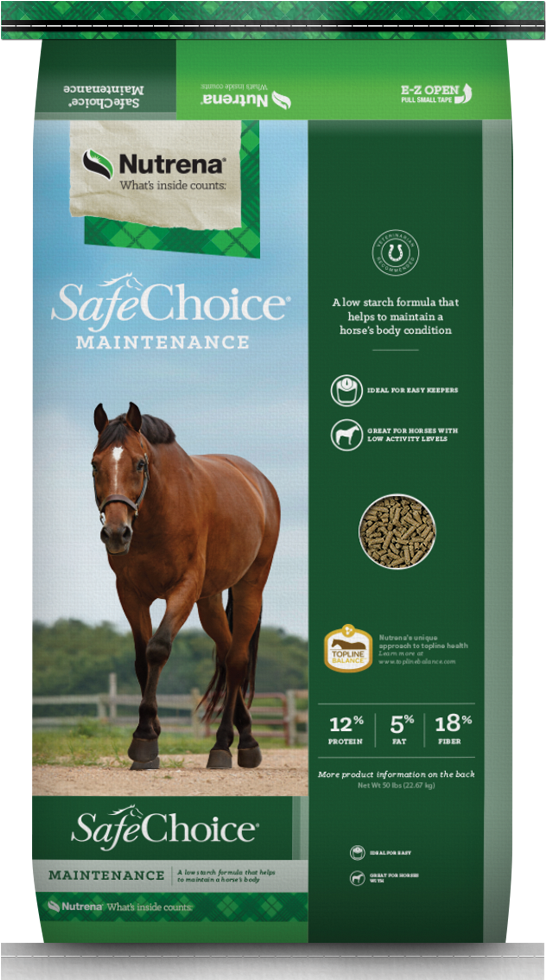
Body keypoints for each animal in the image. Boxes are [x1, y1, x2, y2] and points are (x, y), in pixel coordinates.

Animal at [91, 402, 280, 771]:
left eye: (140, 463)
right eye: (95, 464)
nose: (116, 533)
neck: (161, 511)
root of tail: (260, 483)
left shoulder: (184, 590)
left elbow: (158, 649)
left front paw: (144, 740)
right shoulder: (131, 594)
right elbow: (141, 659)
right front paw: (152, 736)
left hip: (250, 586)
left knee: (237, 660)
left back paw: (224, 746)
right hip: (210, 600)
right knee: (227, 654)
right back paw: (246, 736)